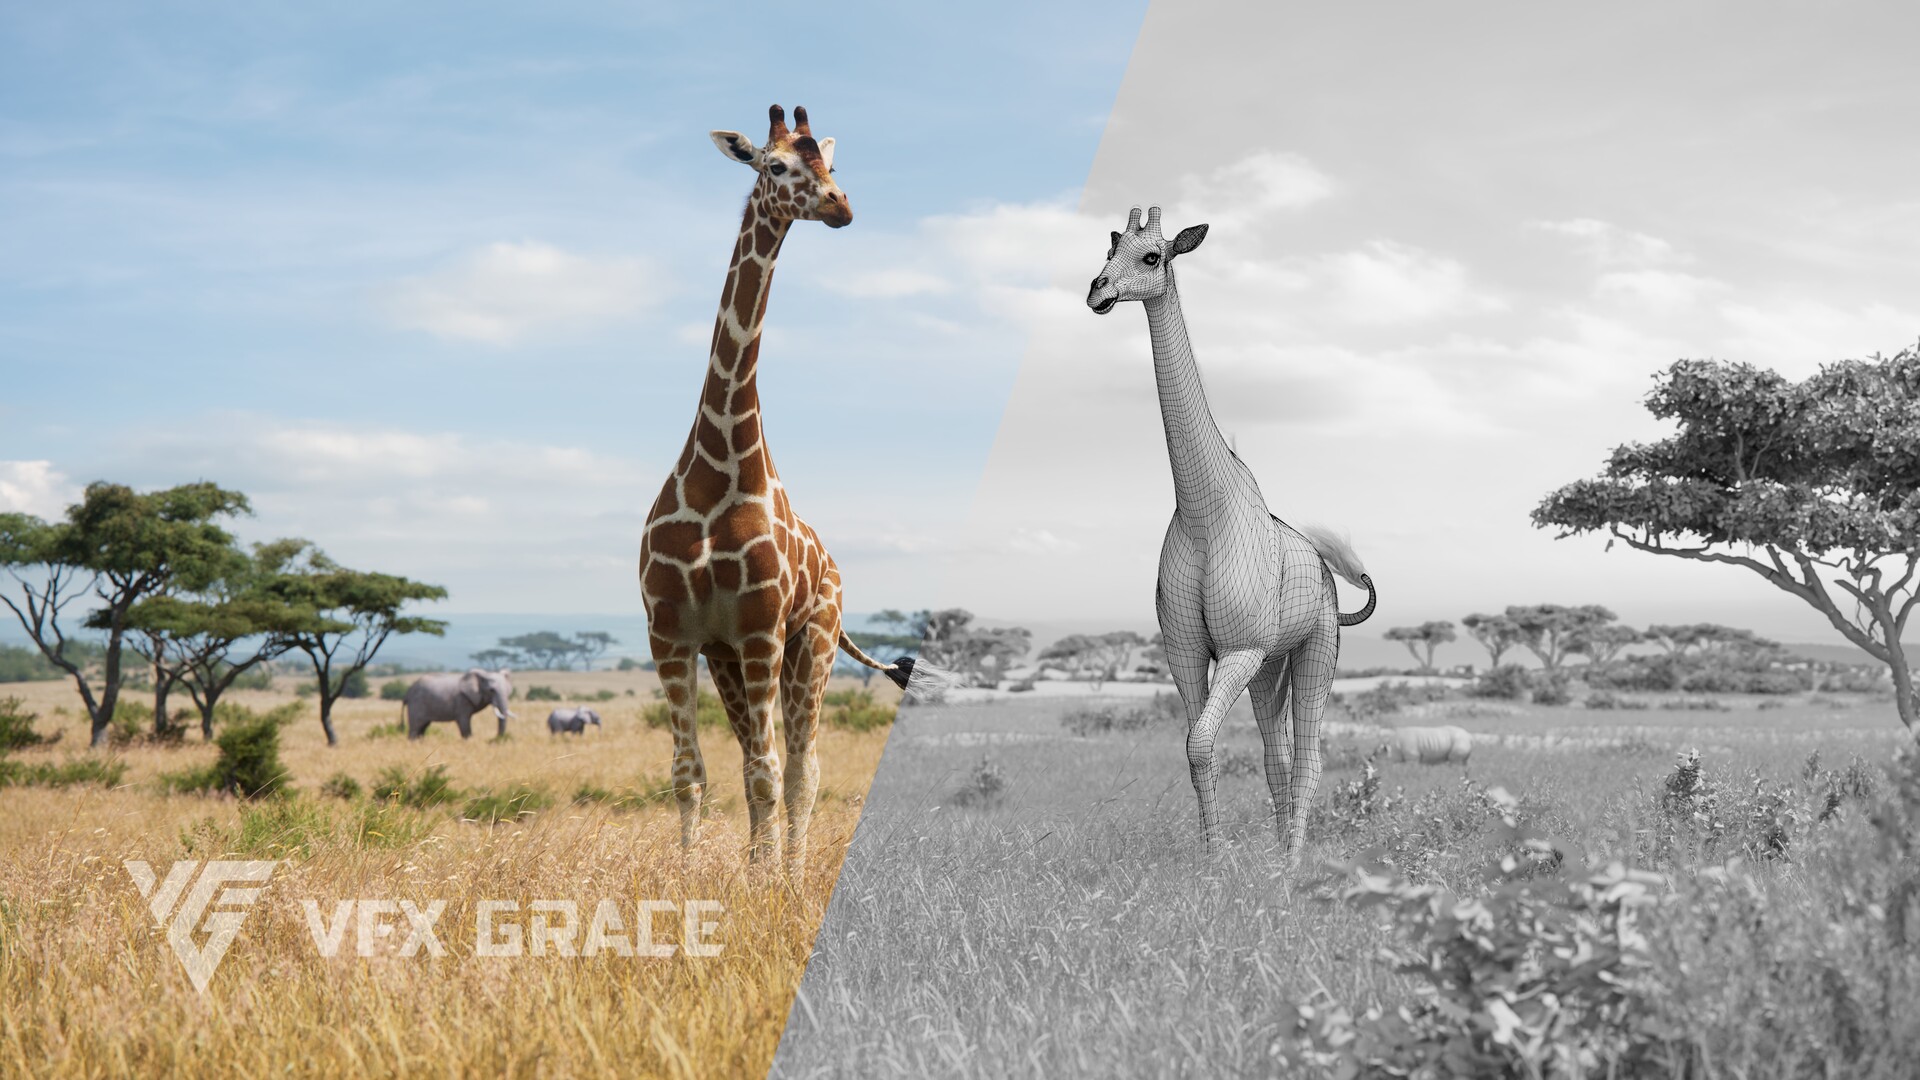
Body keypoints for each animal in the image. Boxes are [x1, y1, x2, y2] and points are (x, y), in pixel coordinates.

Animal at [639, 105, 922, 872]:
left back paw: (789, 874)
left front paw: (767, 887)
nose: (840, 205)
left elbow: (773, 773)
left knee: (801, 767)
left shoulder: (762, 628)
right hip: (729, 658)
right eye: (776, 165)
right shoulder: (674, 632)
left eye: (829, 163)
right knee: (753, 762)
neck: (716, 469)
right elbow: (691, 773)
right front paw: (693, 881)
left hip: (813, 640)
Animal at [1085, 205, 1378, 859]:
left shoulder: (1241, 647)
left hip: (1313, 649)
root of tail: (1329, 580)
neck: (1203, 509)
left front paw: (1224, 856)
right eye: (1110, 249)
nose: (1097, 292)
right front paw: (1212, 857)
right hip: (1272, 665)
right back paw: (1278, 850)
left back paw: (1292, 861)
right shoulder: (1187, 650)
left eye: (1153, 257)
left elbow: (1202, 742)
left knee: (1308, 756)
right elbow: (1198, 748)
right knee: (1277, 754)